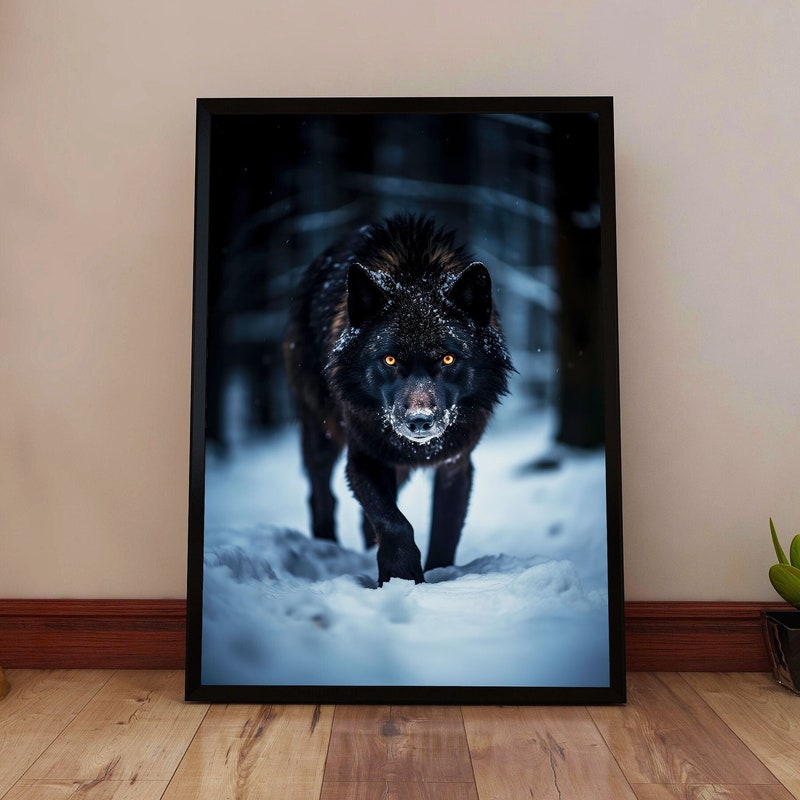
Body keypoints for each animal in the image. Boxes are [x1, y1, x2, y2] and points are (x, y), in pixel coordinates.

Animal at [284, 214, 513, 585]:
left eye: (448, 359)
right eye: (390, 360)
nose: (420, 421)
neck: (414, 269)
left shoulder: (455, 464)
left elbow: (444, 531)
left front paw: (438, 577)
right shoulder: (365, 456)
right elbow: (394, 522)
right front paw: (401, 577)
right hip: (320, 431)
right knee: (321, 494)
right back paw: (326, 546)